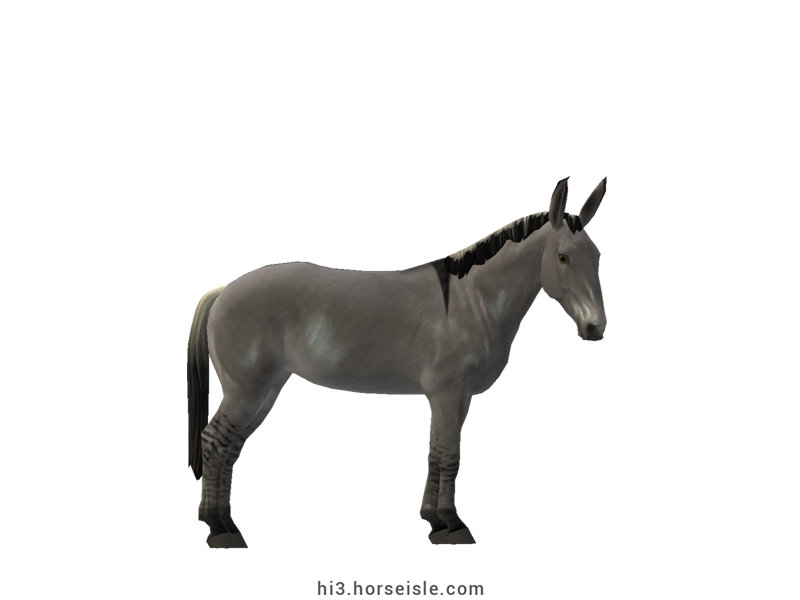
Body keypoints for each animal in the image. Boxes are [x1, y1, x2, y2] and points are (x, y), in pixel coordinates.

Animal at [187, 178, 607, 545]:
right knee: (211, 443)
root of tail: (226, 290)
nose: (595, 327)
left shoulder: (449, 394)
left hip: (259, 393)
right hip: (243, 391)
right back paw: (216, 529)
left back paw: (227, 524)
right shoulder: (447, 390)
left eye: (597, 257)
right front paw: (454, 524)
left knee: (226, 448)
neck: (474, 301)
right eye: (563, 257)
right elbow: (450, 454)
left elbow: (436, 453)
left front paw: (433, 522)